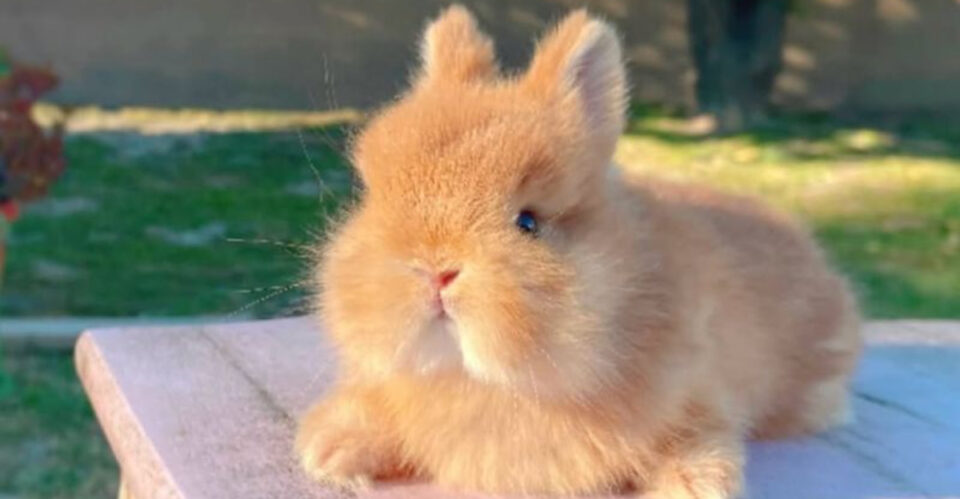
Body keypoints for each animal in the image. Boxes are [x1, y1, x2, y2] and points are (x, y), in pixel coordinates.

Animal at [296, 5, 862, 498]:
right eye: (374, 197)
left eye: (528, 222)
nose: (434, 270)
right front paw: (328, 449)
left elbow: (697, 438)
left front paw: (693, 486)